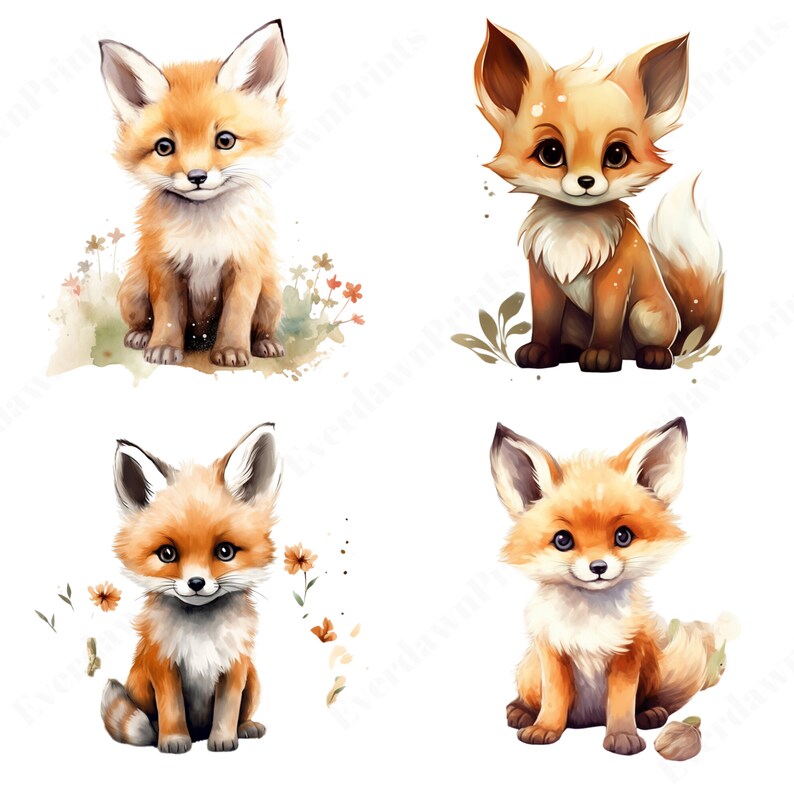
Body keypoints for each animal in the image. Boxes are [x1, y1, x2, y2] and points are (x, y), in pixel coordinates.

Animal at [99, 21, 289, 368]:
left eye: (225, 140)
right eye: (164, 147)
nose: (197, 177)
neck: (204, 234)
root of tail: (199, 339)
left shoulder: (245, 266)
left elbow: (237, 316)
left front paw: (231, 350)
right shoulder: (164, 266)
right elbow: (167, 316)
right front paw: (163, 348)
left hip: (270, 294)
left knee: (262, 325)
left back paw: (265, 343)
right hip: (134, 288)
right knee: (142, 319)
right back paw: (141, 336)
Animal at [101, 423, 281, 752]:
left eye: (225, 551)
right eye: (167, 554)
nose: (196, 583)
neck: (200, 635)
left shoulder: (234, 667)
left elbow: (227, 709)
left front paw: (223, 740)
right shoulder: (163, 665)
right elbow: (172, 709)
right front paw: (173, 740)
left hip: (253, 680)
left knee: (243, 711)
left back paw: (246, 727)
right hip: (140, 682)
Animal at [475, 23, 724, 372]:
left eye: (616, 155)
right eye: (550, 153)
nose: (586, 181)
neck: (573, 228)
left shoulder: (615, 276)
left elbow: (607, 319)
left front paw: (602, 355)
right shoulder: (543, 276)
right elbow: (544, 320)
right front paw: (540, 351)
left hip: (646, 313)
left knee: (656, 346)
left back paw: (653, 356)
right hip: (574, 318)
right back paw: (566, 351)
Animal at [490, 418, 734, 755]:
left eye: (623, 536)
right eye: (562, 540)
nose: (598, 567)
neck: (589, 622)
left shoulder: (627, 653)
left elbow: (620, 702)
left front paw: (622, 736)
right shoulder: (552, 652)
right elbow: (554, 699)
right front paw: (545, 728)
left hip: (651, 667)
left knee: (649, 702)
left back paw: (650, 713)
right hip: (529, 670)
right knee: (528, 696)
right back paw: (520, 711)